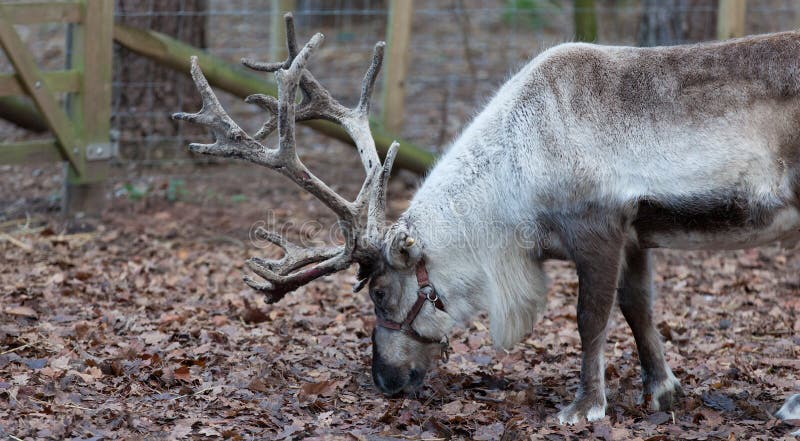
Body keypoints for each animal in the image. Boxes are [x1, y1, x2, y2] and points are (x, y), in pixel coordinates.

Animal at [173, 14, 800, 426]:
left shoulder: (596, 228)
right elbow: (639, 308)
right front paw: (662, 392)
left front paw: (584, 407)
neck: (512, 182)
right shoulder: (636, 233)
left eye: (379, 292)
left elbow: (590, 320)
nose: (383, 380)